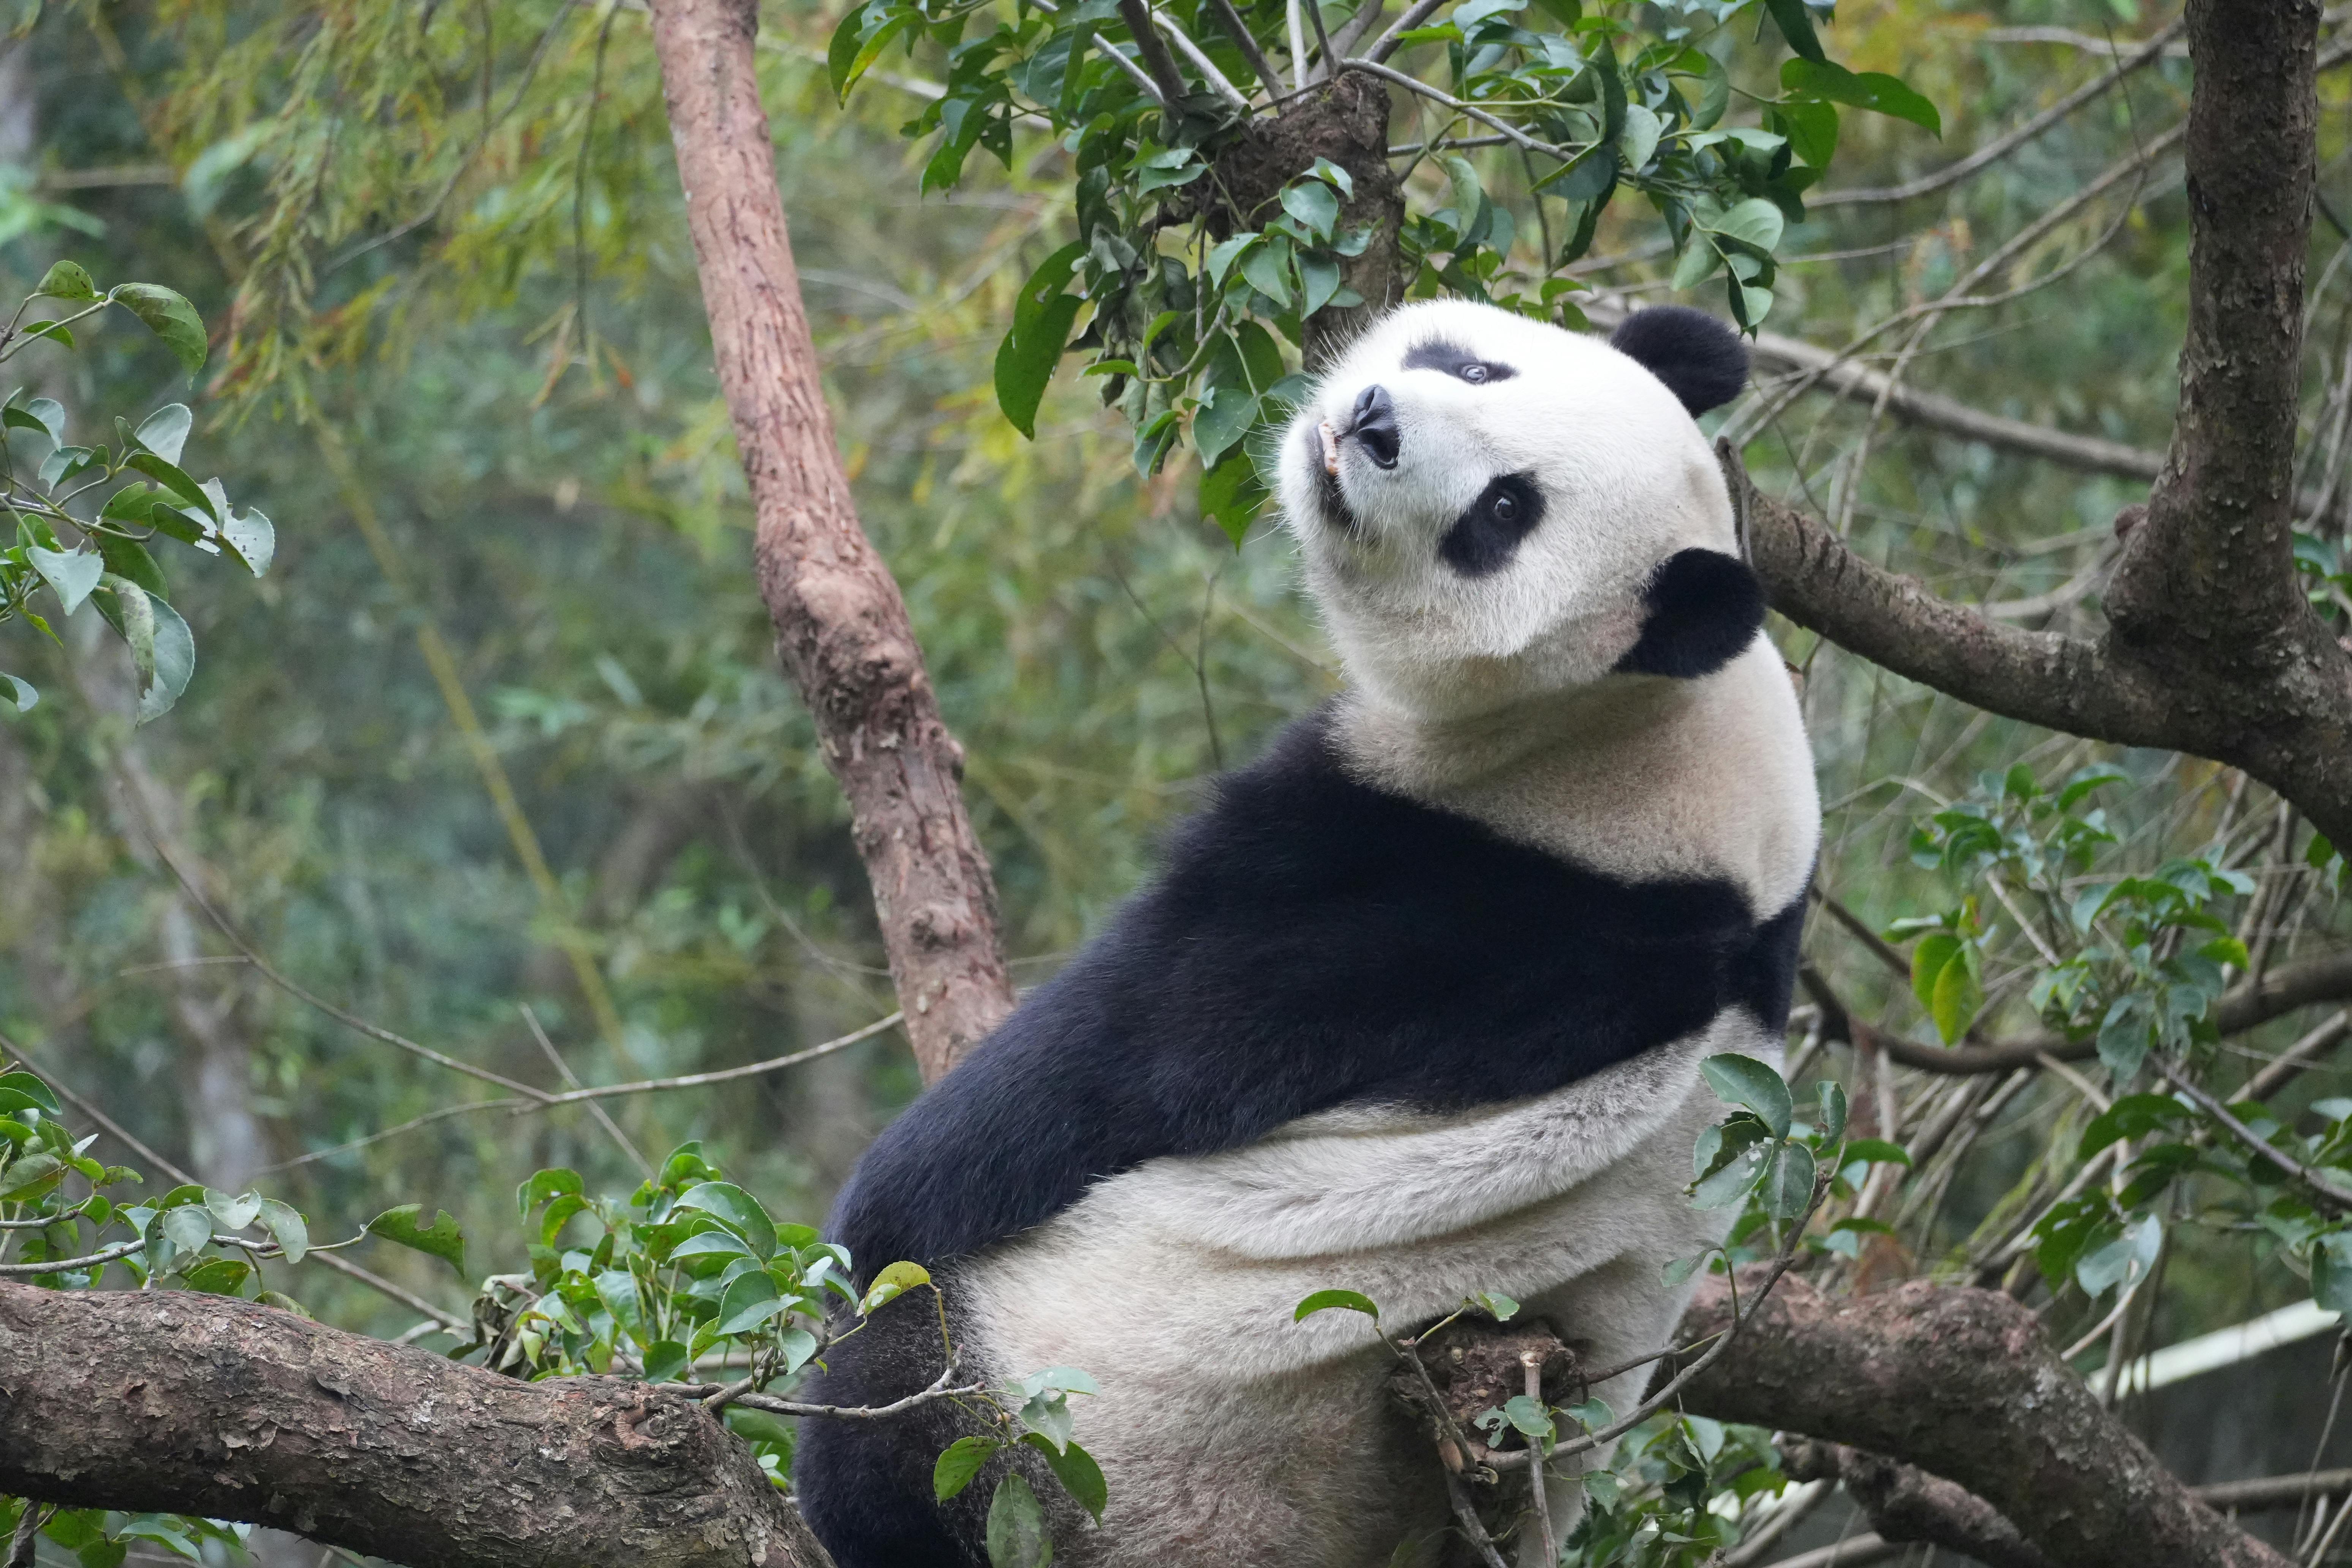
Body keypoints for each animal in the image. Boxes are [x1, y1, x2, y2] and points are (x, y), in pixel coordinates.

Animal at [793, 298, 1820, 1568]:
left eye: (1505, 512)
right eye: (1477, 364)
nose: (1374, 421)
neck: (1657, 719)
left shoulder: (1471, 897)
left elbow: (1103, 1075)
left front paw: (873, 1212)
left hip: (1103, 1448)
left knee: (900, 1397)